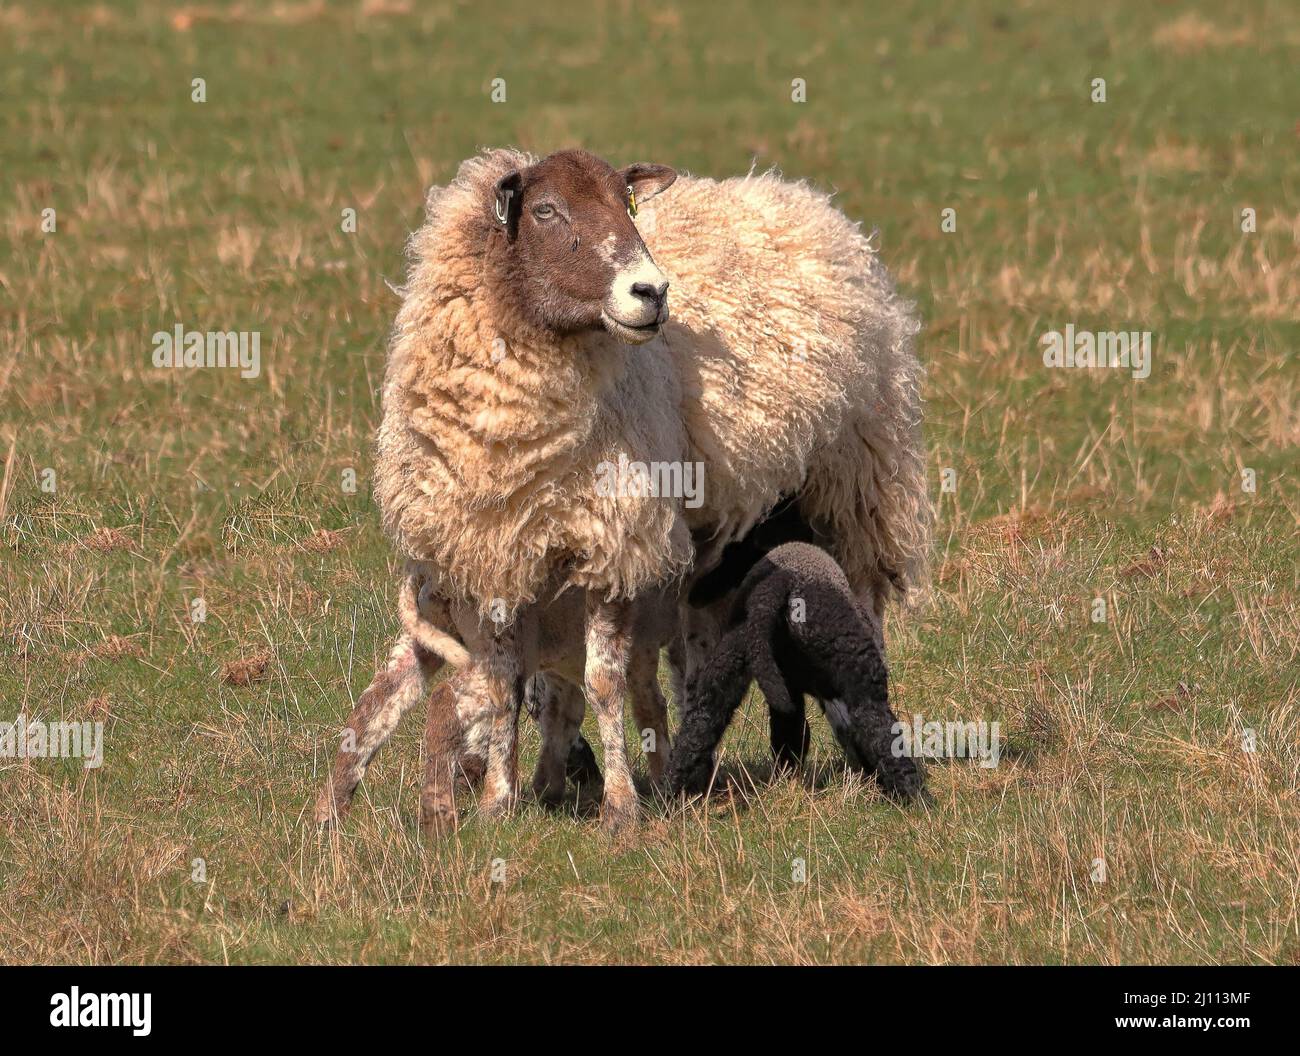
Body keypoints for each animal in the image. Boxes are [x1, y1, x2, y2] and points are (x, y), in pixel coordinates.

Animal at [665, 542, 927, 802]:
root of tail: (780, 585)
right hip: (860, 675)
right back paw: (916, 798)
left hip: (729, 664)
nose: (692, 595)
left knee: (700, 726)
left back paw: (670, 796)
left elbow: (790, 733)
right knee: (879, 727)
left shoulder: (788, 688)